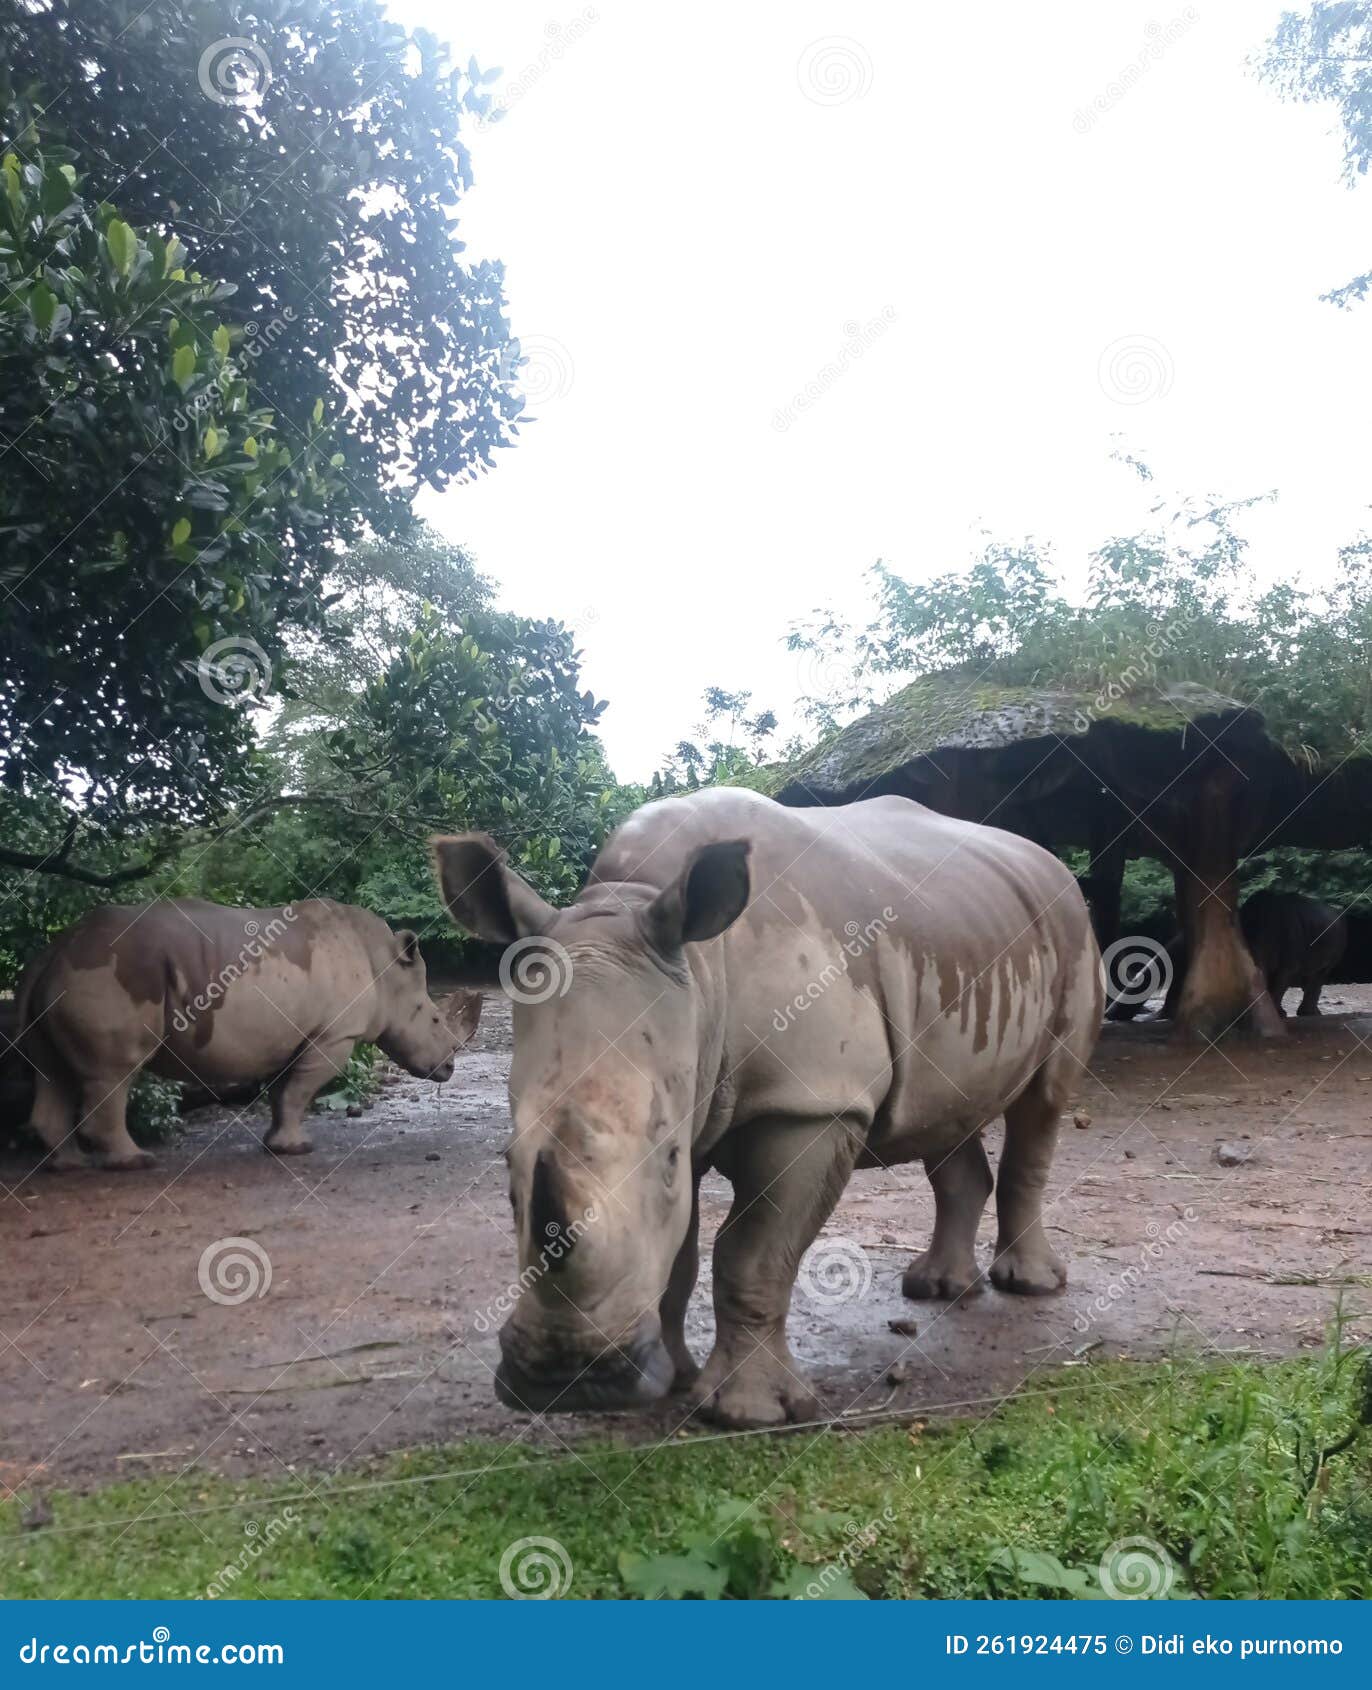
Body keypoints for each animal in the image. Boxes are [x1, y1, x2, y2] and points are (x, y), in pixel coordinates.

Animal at [16, 898, 464, 1171]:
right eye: (434, 1020)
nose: (450, 1067)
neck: (385, 969)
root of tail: (54, 953)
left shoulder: (291, 1034)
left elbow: (284, 1093)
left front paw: (279, 1146)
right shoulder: (334, 1037)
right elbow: (299, 1091)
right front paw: (298, 1149)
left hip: (67, 978)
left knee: (52, 1071)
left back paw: (68, 1164)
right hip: (110, 975)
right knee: (113, 1073)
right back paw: (135, 1162)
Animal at [433, 788, 1101, 1429]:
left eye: (667, 1159)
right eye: (508, 1165)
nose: (562, 1378)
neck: (698, 969)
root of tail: (1050, 864)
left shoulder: (810, 1104)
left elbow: (750, 1254)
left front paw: (748, 1413)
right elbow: (679, 1256)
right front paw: (674, 1380)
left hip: (1070, 928)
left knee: (1043, 1103)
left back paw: (1028, 1287)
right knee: (946, 1114)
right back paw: (936, 1290)